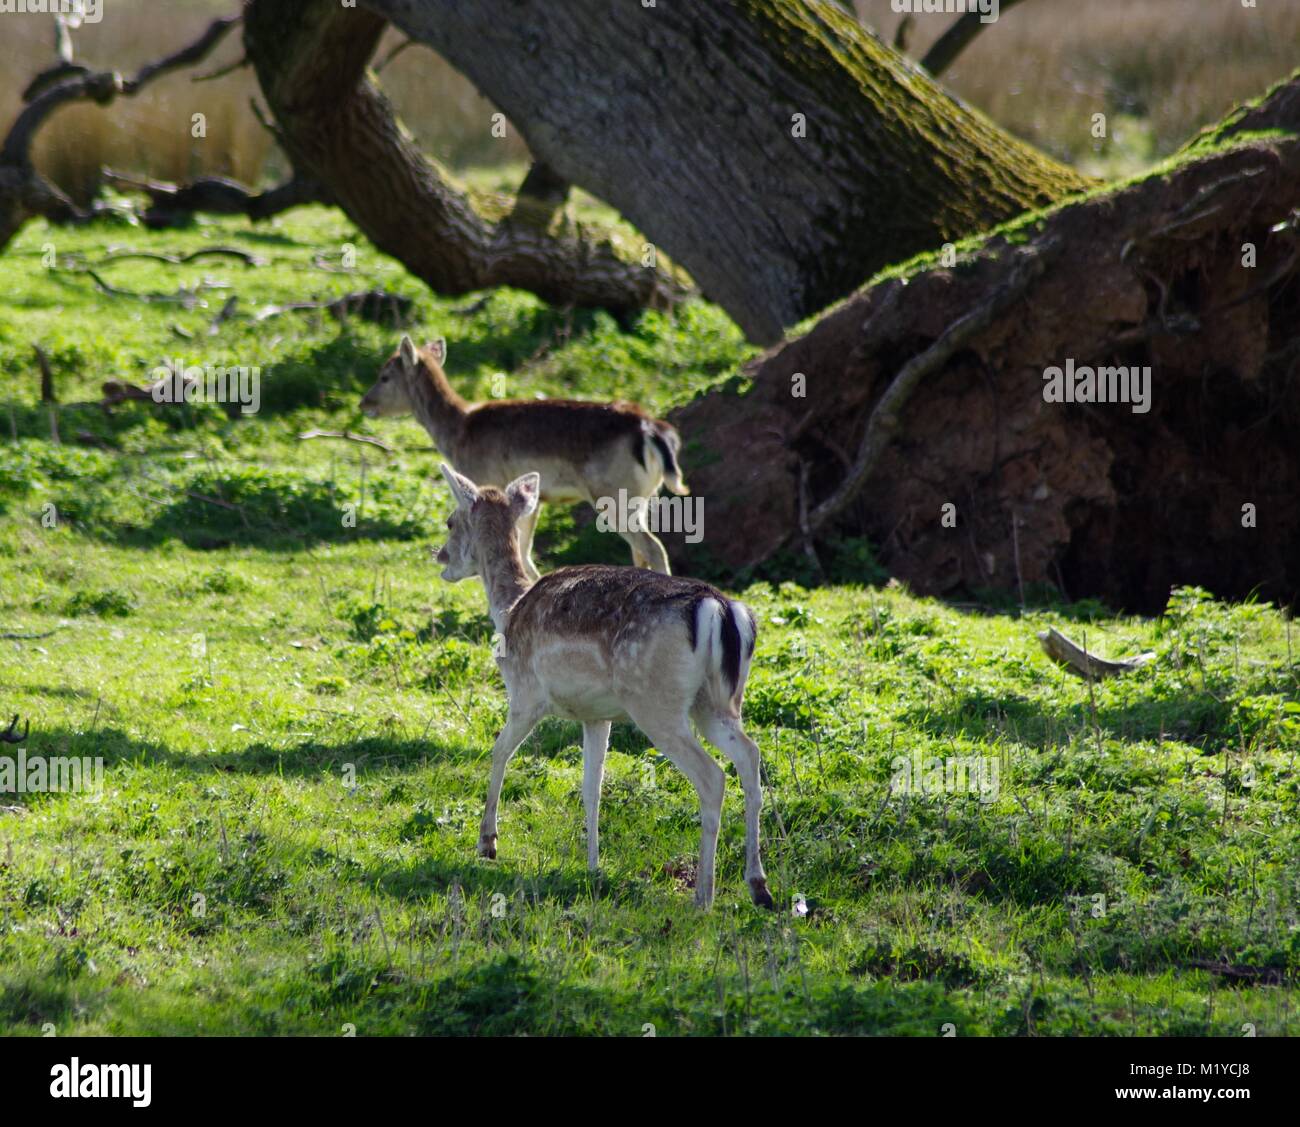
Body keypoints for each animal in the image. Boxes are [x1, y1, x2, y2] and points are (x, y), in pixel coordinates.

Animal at [360, 336, 688, 580]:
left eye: (384, 376)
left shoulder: (488, 480)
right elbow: (525, 549)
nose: (364, 404)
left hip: (612, 495)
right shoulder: (535, 500)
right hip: (642, 497)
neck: (459, 432)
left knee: (653, 547)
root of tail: (649, 430)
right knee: (641, 550)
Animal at [435, 462, 773, 911]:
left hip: (657, 705)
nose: (439, 557)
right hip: (718, 702)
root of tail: (720, 609)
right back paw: (758, 886)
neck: (509, 610)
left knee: (712, 776)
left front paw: (487, 843)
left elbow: (499, 751)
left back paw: (704, 895)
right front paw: (593, 866)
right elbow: (591, 787)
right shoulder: (596, 716)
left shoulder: (525, 693)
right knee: (750, 756)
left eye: (451, 521)